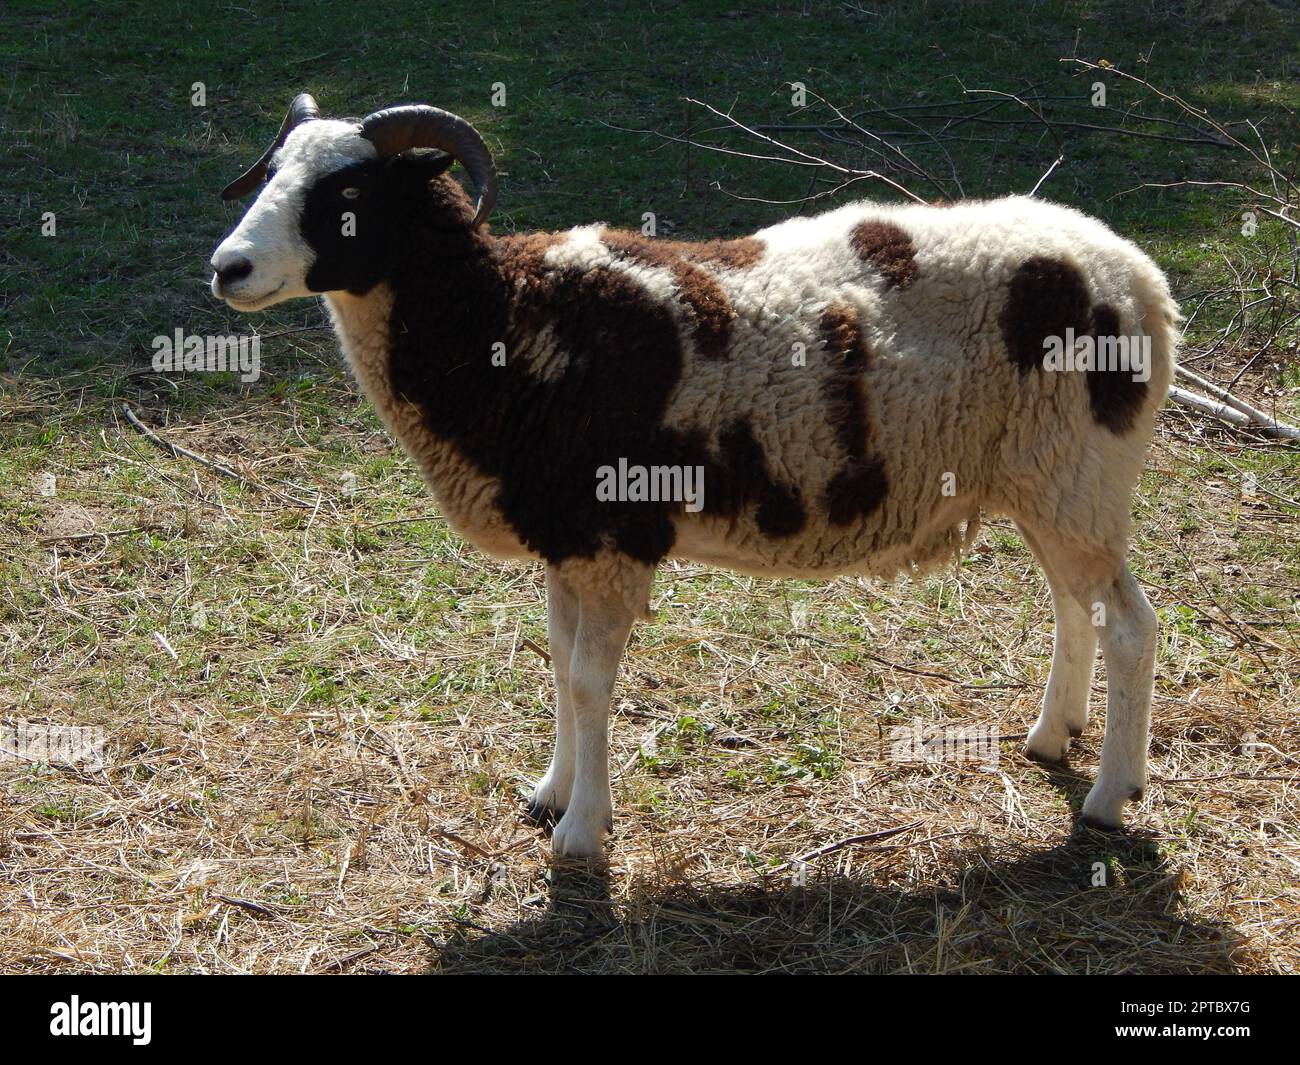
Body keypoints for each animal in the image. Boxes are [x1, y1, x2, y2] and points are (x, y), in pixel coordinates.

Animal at [210, 95, 1178, 858]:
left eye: (347, 193)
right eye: (270, 172)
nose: (228, 267)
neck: (508, 319)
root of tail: (1140, 278)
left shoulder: (613, 536)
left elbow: (590, 681)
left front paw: (582, 833)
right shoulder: (567, 538)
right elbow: (558, 666)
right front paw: (551, 791)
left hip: (1078, 471)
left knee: (1130, 625)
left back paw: (1108, 797)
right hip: (1050, 481)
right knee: (1076, 606)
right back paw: (1052, 737)